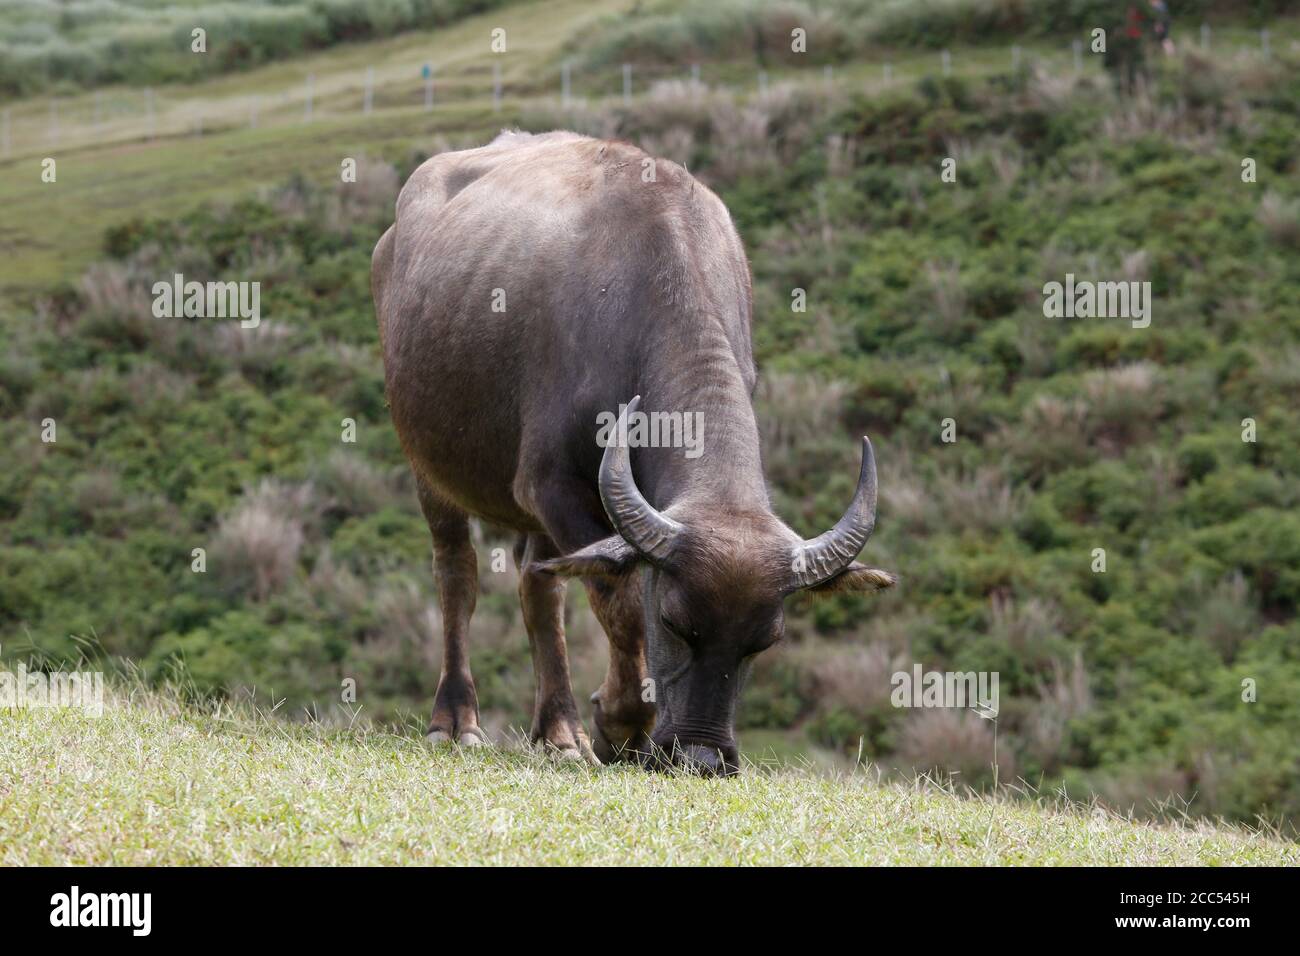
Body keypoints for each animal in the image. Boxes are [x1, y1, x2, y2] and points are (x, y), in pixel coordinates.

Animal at [371, 130, 895, 775]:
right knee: (457, 575)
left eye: (765, 640)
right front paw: (622, 725)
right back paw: (456, 721)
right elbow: (618, 602)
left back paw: (560, 730)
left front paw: (600, 729)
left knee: (538, 590)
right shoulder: (553, 487)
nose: (702, 756)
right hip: (430, 467)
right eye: (673, 621)